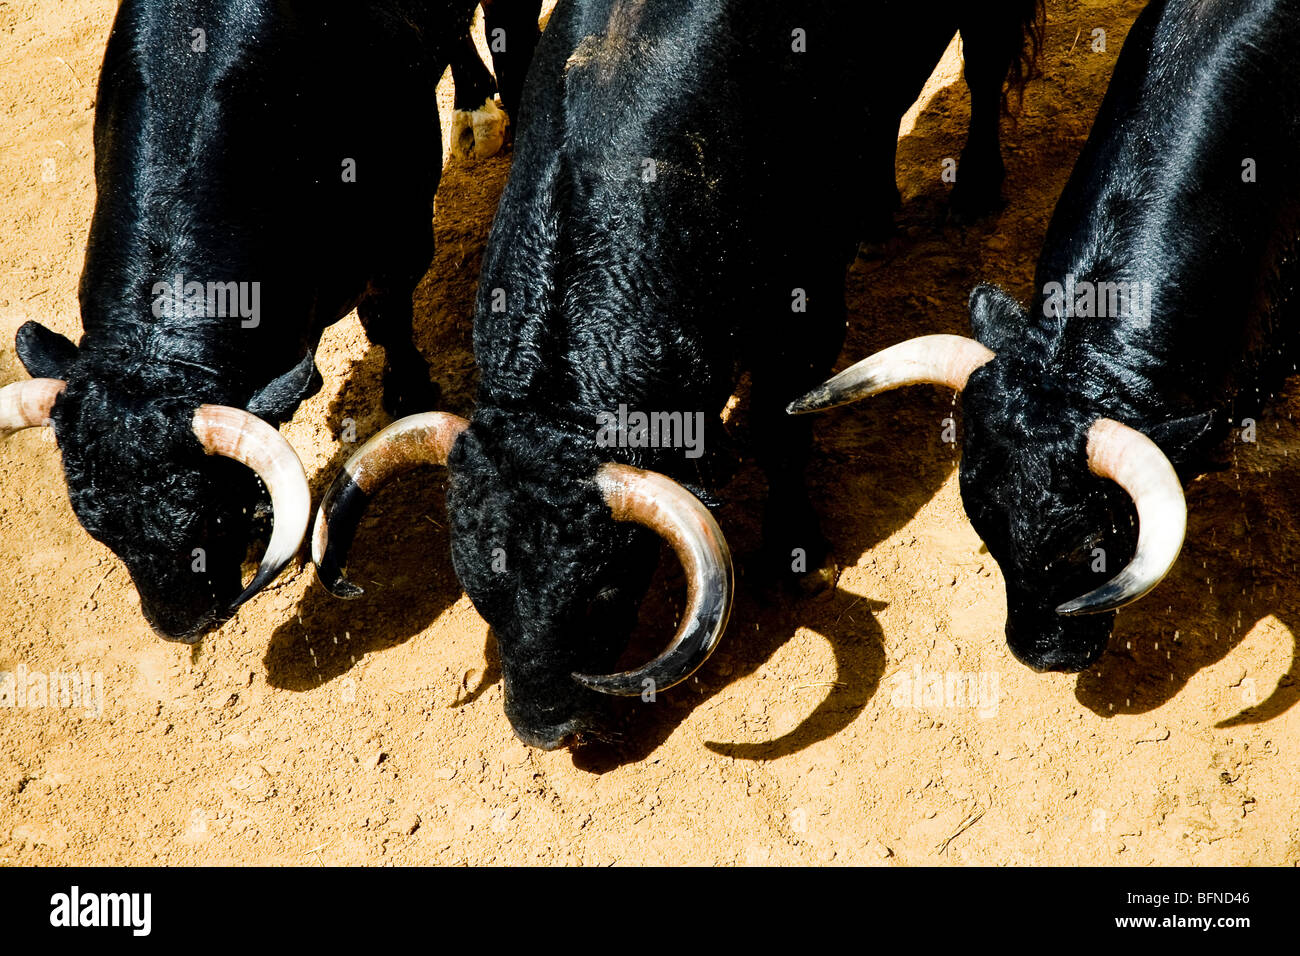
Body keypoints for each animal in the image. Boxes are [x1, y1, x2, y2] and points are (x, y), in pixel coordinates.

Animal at [0, 0, 539, 642]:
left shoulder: (400, 217)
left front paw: (409, 393)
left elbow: (386, 316)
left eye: (209, 516)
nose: (181, 626)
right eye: (96, 528)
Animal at [309, 0, 1046, 750]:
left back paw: (976, 188)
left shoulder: (806, 307)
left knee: (985, 61)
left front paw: (799, 551)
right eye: (479, 593)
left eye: (604, 591)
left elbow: (784, 429)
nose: (544, 729)